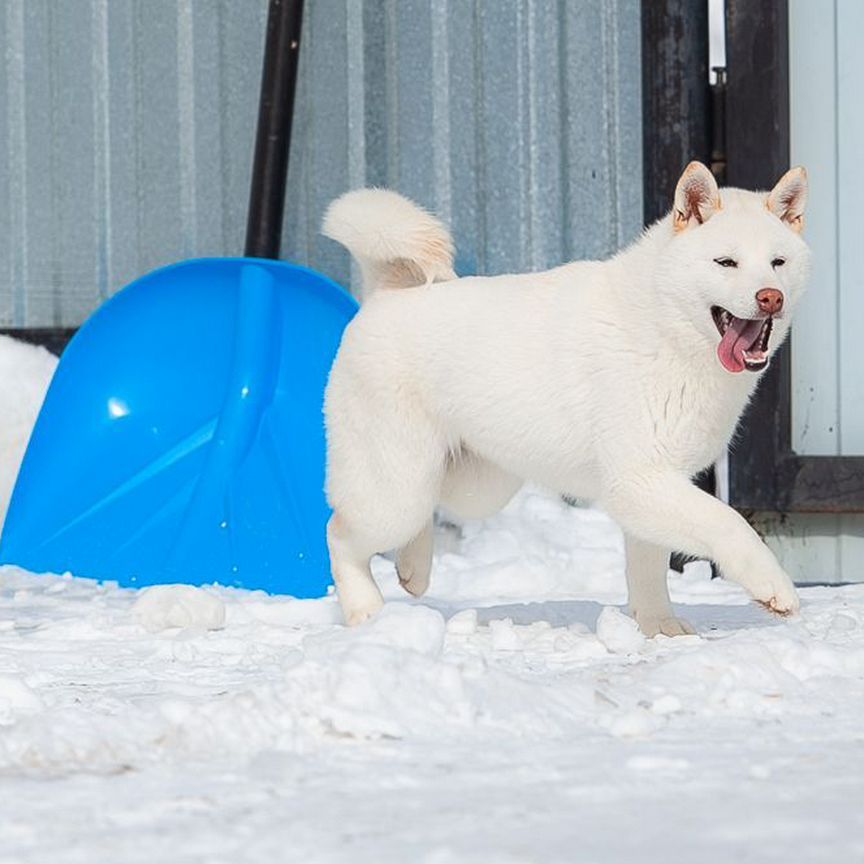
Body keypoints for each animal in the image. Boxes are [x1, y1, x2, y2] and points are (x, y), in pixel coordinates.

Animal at [322, 162, 808, 636]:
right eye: (726, 262)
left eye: (778, 262)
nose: (770, 297)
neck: (665, 329)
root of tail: (387, 294)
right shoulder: (638, 480)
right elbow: (729, 524)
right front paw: (774, 588)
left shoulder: (653, 486)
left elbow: (648, 569)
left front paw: (659, 629)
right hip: (396, 488)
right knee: (339, 532)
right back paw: (365, 612)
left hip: (471, 487)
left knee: (423, 514)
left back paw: (412, 570)